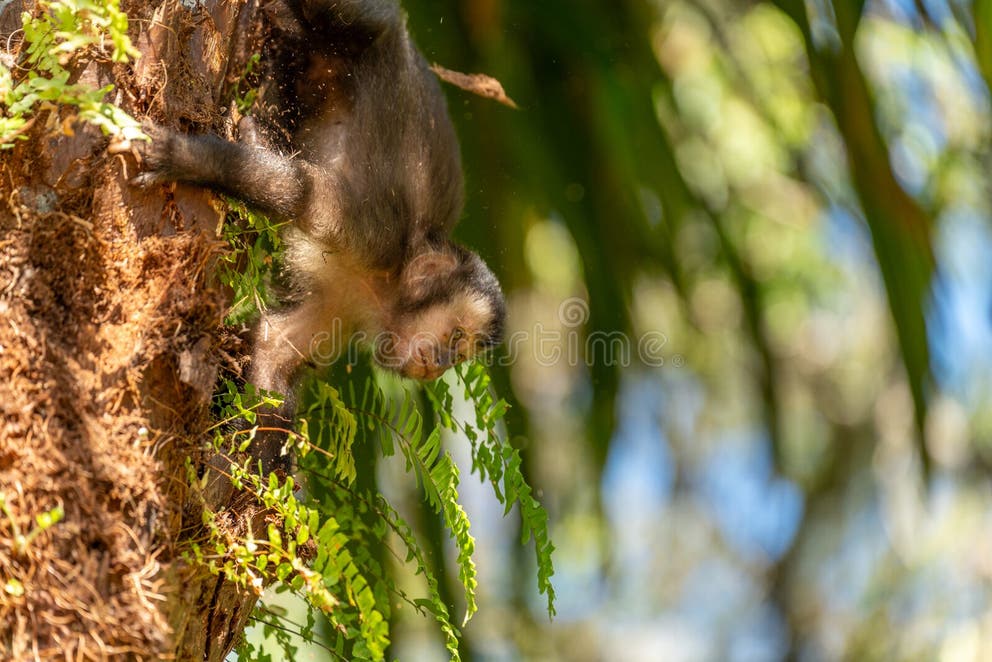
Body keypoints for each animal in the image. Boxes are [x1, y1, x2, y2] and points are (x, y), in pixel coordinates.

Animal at [129, 0, 506, 470]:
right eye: (454, 339)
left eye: (460, 354)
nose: (437, 365)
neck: (389, 284)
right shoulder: (374, 237)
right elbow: (303, 196)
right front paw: (189, 158)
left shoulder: (345, 310)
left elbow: (272, 352)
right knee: (356, 22)